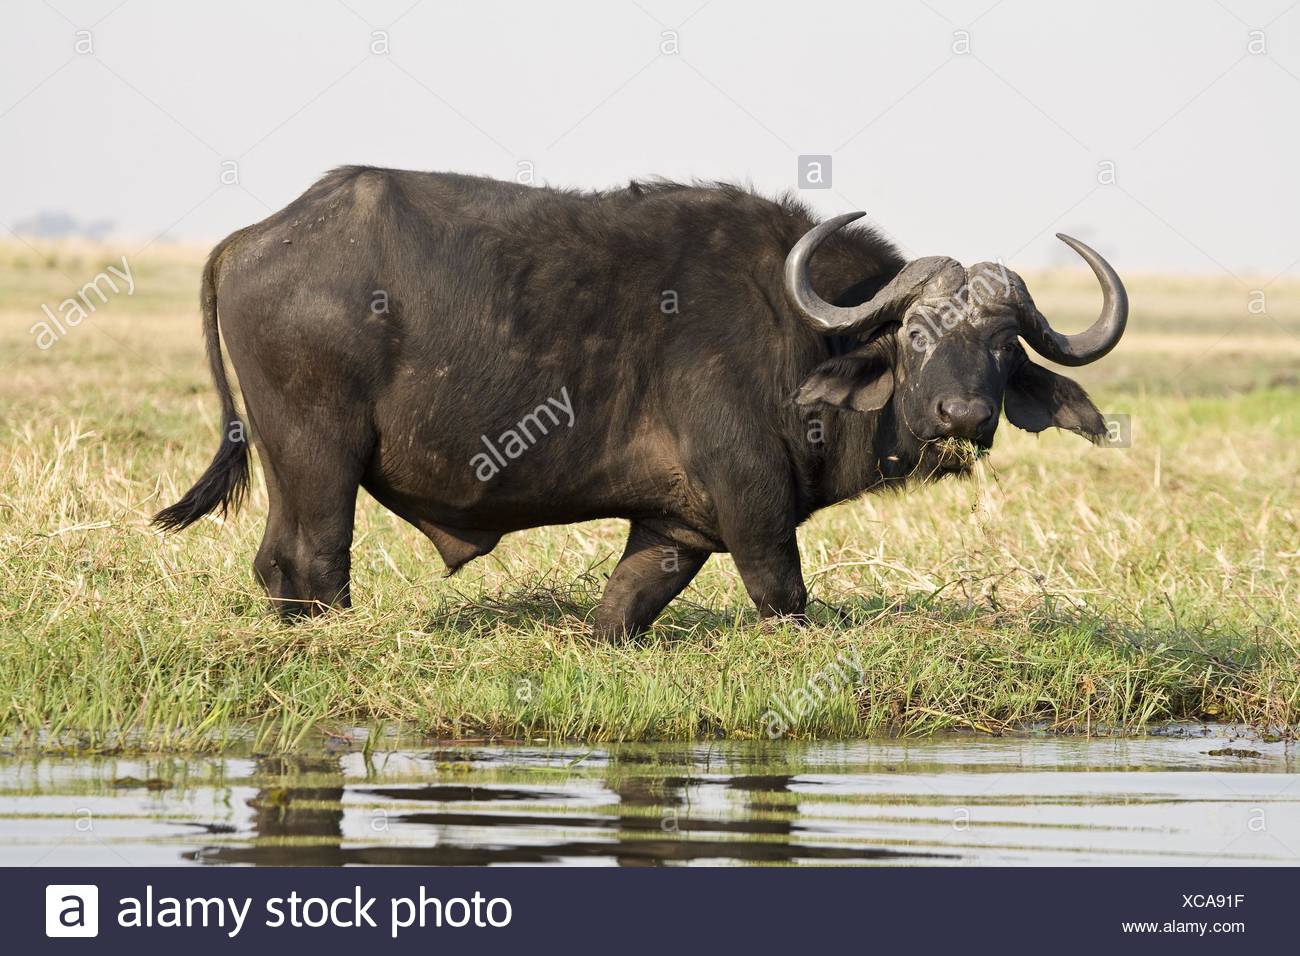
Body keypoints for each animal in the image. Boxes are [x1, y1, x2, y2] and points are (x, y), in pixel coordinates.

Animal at [155, 166, 1127, 639]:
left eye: (1002, 346)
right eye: (916, 334)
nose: (964, 418)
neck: (794, 330)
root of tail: (256, 238)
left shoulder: (676, 528)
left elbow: (620, 611)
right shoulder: (753, 507)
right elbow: (784, 596)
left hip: (288, 464)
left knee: (275, 564)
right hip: (321, 458)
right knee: (316, 565)